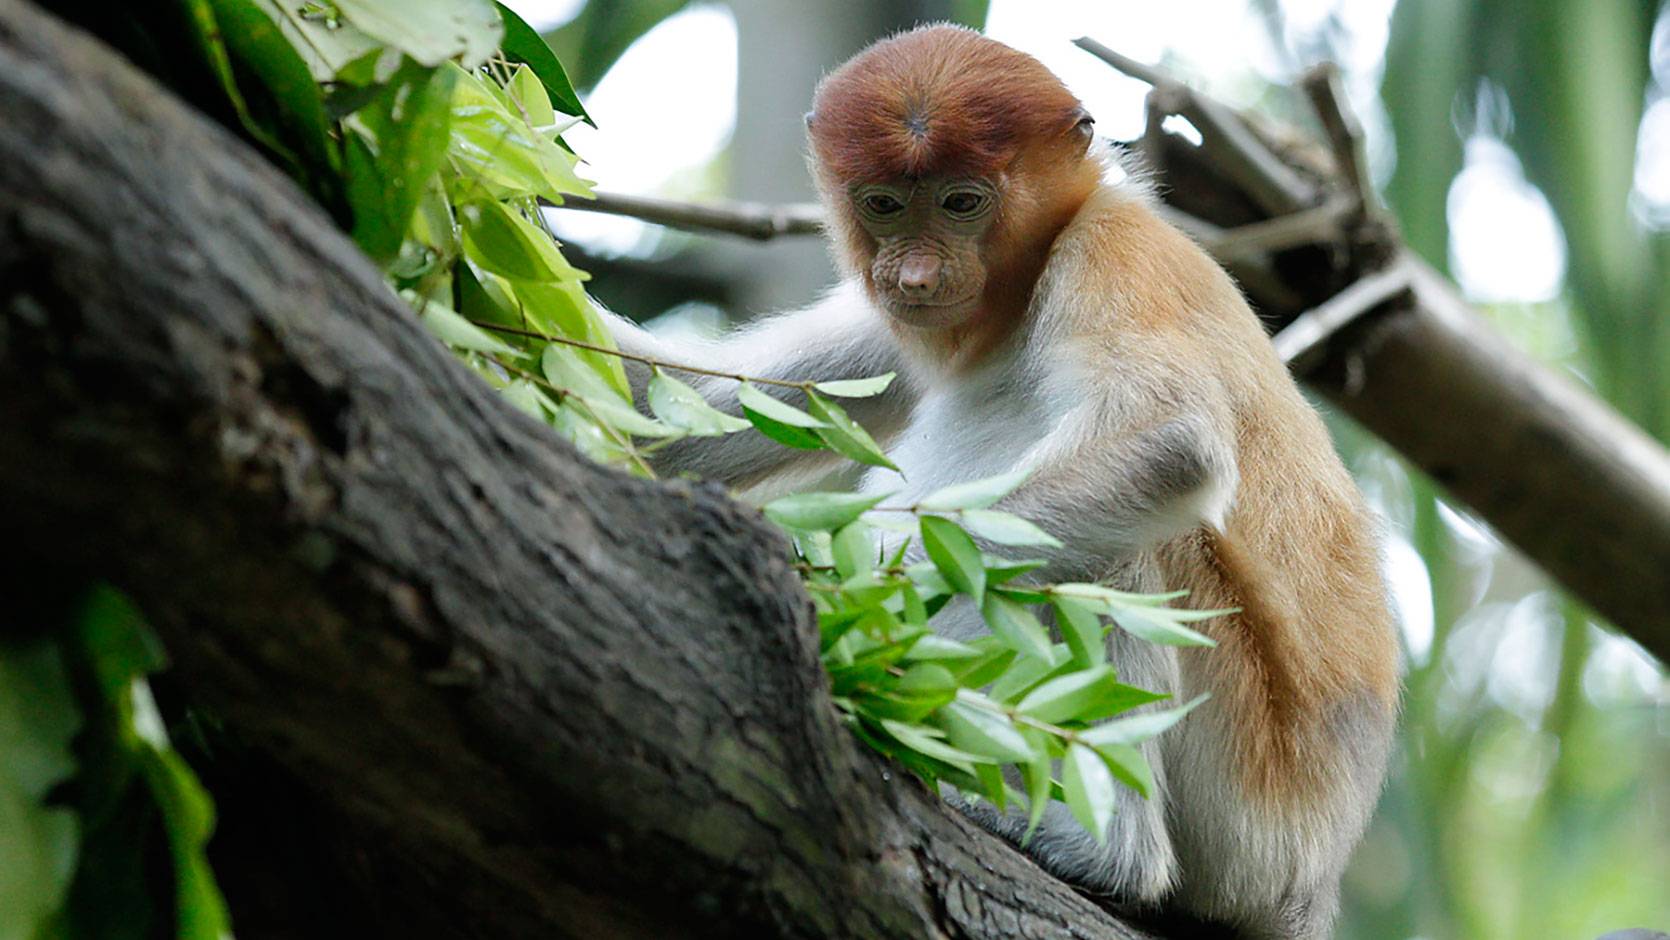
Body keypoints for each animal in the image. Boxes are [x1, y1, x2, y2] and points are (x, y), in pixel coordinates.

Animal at [603, 25, 1399, 940]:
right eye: (883, 204)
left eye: (961, 202)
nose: (914, 278)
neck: (1021, 295)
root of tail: (1318, 874)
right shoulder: (897, 328)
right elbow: (685, 407)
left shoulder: (1113, 252)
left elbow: (1173, 444)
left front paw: (846, 600)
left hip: (1249, 816)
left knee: (1114, 555)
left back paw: (1104, 854)